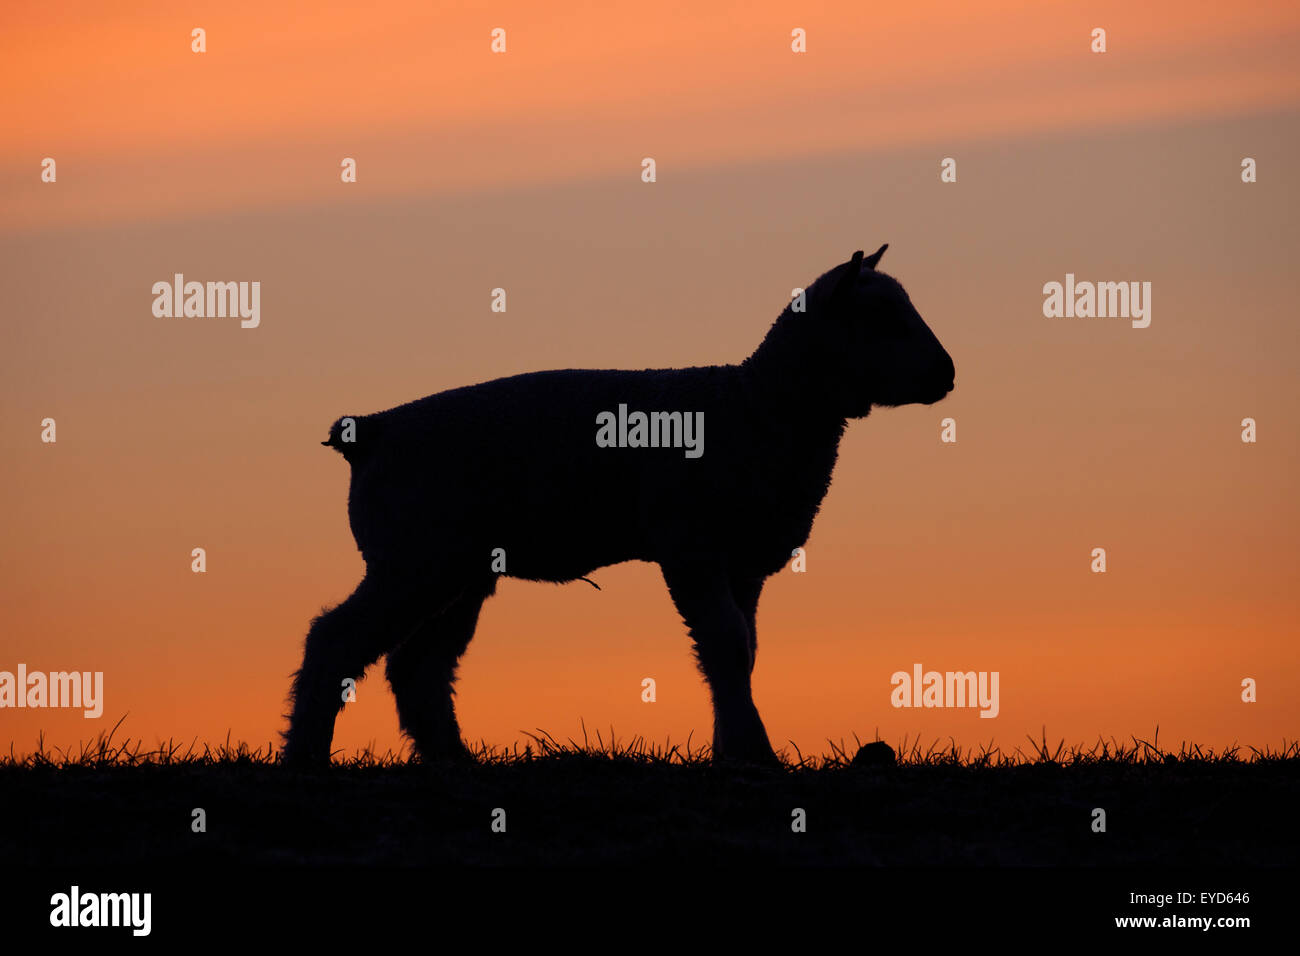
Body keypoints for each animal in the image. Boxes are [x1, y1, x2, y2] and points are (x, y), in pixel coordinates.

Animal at [281, 244, 955, 767]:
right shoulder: (690, 547)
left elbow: (741, 653)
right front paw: (754, 754)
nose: (947, 374)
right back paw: (306, 758)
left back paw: (454, 761)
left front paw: (734, 751)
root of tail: (370, 431)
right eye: (881, 316)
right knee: (335, 640)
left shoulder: (742, 563)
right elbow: (726, 644)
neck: (755, 403)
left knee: (418, 667)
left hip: (457, 571)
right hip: (414, 558)